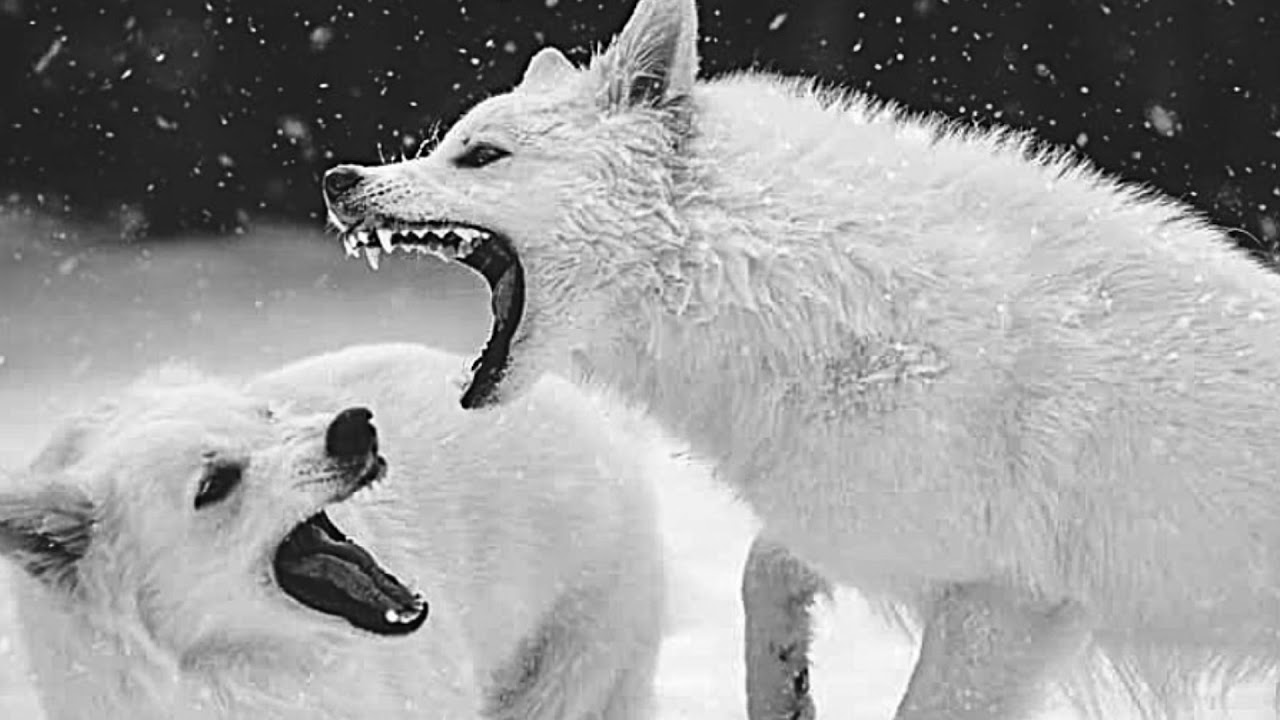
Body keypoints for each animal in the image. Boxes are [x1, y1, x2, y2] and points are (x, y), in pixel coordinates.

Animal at [316, 0, 1280, 717]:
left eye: (480, 154)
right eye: (452, 141)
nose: (337, 180)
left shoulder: (1003, 606)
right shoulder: (855, 524)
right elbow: (763, 572)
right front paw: (785, 689)